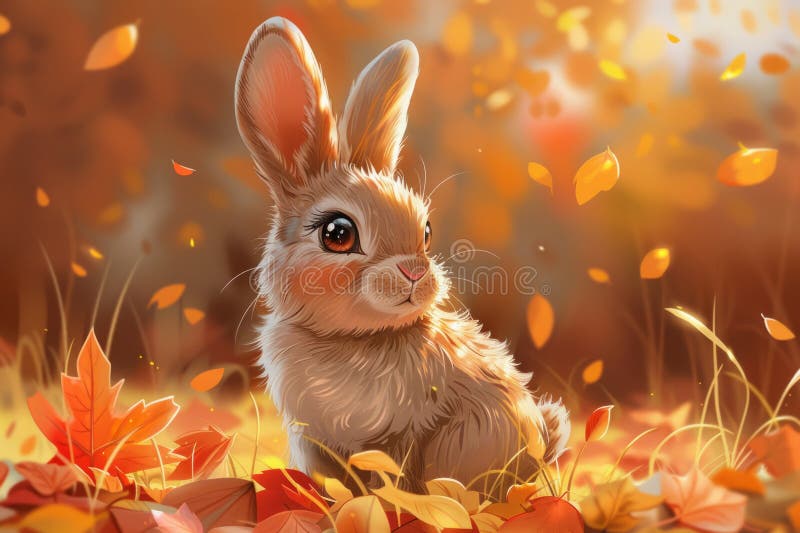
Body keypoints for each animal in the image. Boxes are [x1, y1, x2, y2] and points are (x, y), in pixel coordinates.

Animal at [235, 17, 570, 494]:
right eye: (338, 234)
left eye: (425, 232)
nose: (415, 271)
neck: (353, 339)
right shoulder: (314, 440)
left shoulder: (407, 435)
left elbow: (393, 481)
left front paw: (388, 504)